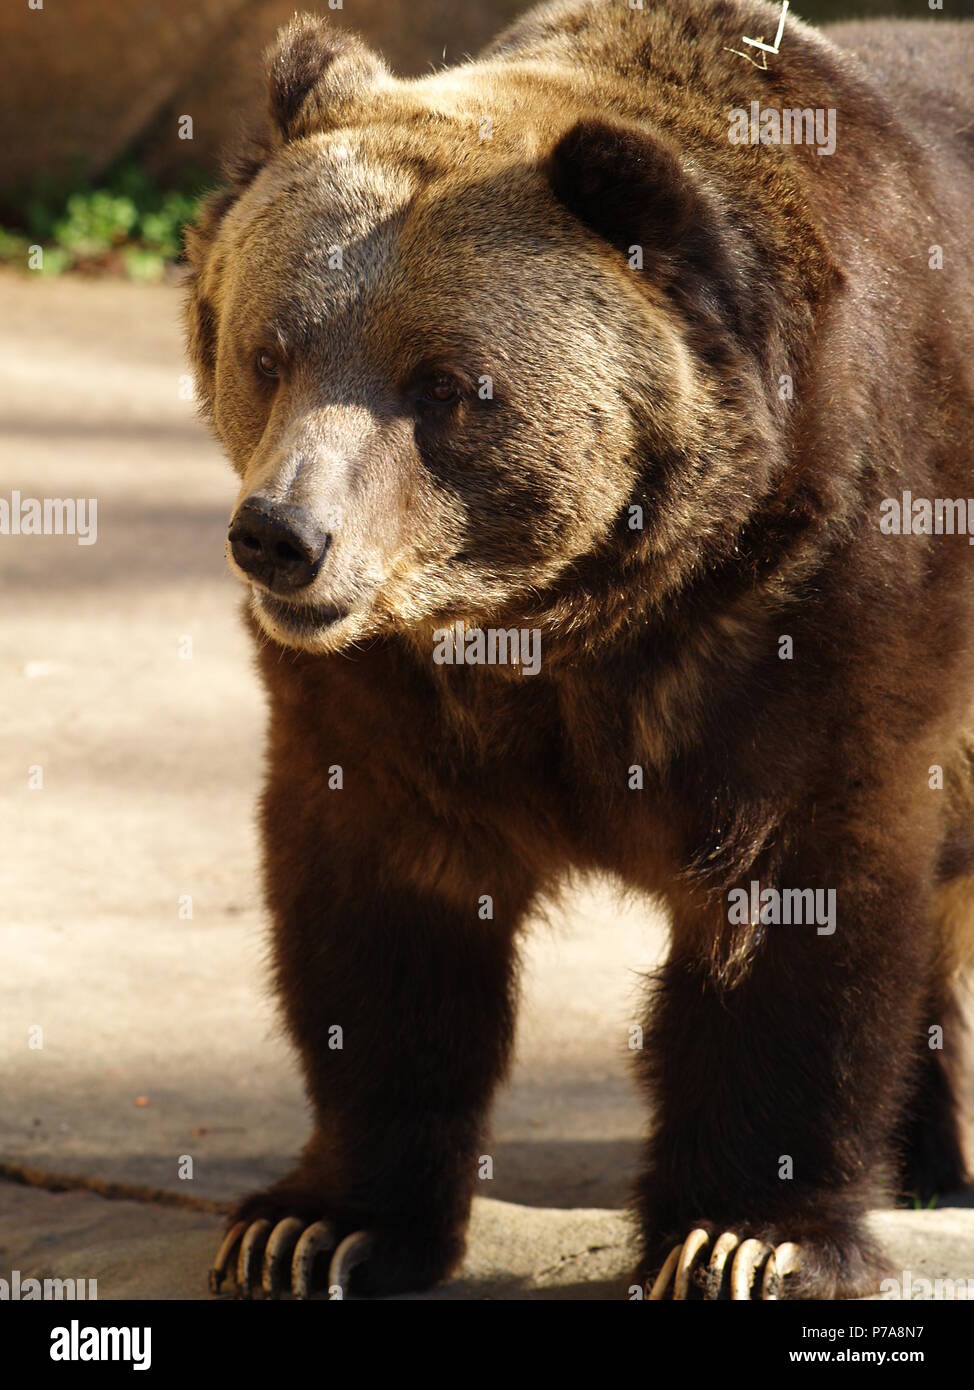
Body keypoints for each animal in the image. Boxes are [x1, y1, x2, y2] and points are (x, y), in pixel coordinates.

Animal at [185, 0, 974, 1300]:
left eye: (448, 384)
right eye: (268, 349)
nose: (282, 538)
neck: (570, 617)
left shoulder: (819, 610)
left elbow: (803, 911)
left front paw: (743, 1240)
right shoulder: (390, 697)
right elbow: (379, 926)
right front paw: (316, 1226)